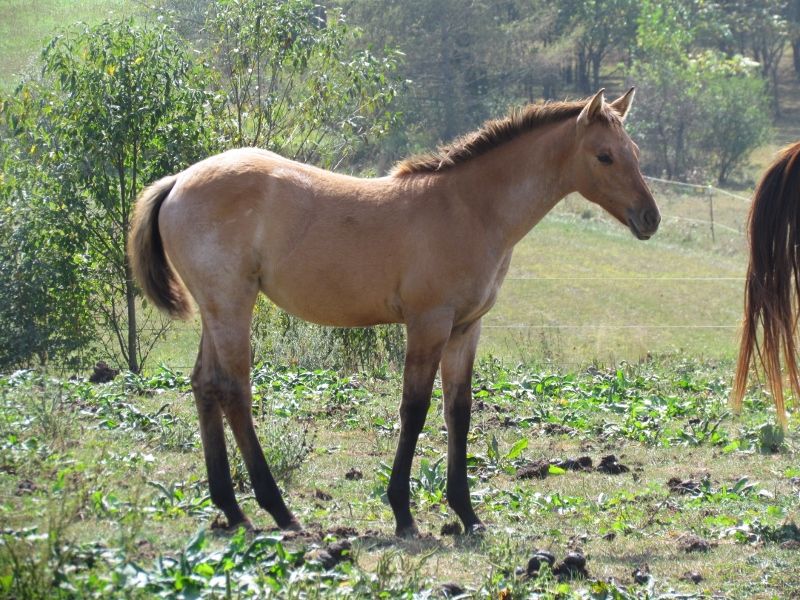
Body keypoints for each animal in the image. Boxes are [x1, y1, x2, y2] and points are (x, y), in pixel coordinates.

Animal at [129, 88, 660, 537]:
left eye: (636, 152)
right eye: (604, 155)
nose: (650, 218)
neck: (469, 209)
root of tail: (178, 181)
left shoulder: (466, 328)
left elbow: (458, 411)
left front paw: (467, 514)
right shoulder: (428, 324)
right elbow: (414, 409)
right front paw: (404, 514)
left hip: (215, 308)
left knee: (205, 385)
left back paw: (232, 508)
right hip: (232, 303)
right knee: (234, 390)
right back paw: (278, 510)